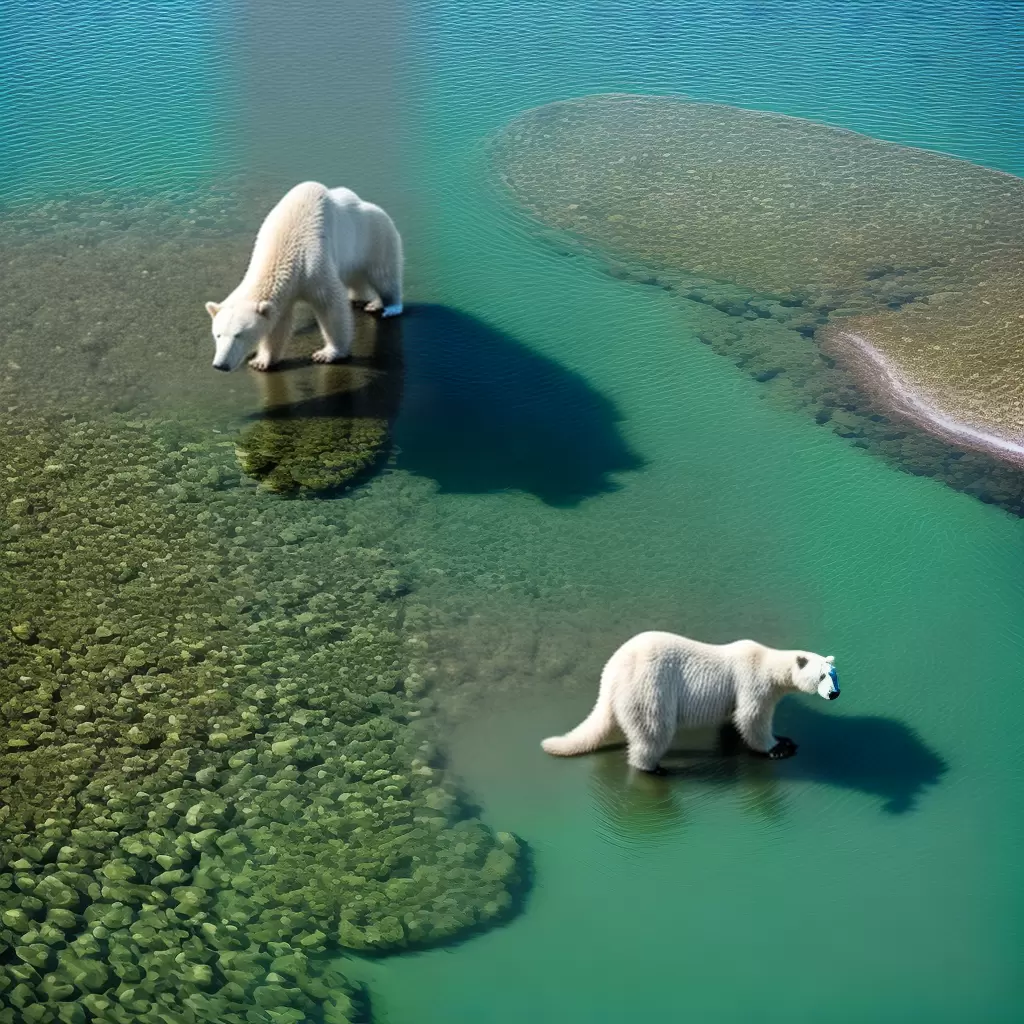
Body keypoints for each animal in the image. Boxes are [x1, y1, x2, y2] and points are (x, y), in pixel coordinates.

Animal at [206, 181, 403, 372]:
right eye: (218, 334)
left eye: (239, 335)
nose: (220, 365)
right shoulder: (284, 291)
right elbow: (279, 323)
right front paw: (262, 361)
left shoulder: (313, 263)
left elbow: (331, 305)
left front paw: (328, 354)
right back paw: (360, 299)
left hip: (375, 235)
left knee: (383, 274)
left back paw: (387, 306)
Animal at [541, 631, 839, 774]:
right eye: (822, 675)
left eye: (835, 675)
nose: (834, 694)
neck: (767, 661)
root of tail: (609, 677)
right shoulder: (752, 683)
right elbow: (752, 719)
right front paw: (779, 746)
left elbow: (733, 719)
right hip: (650, 688)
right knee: (654, 730)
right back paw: (653, 768)